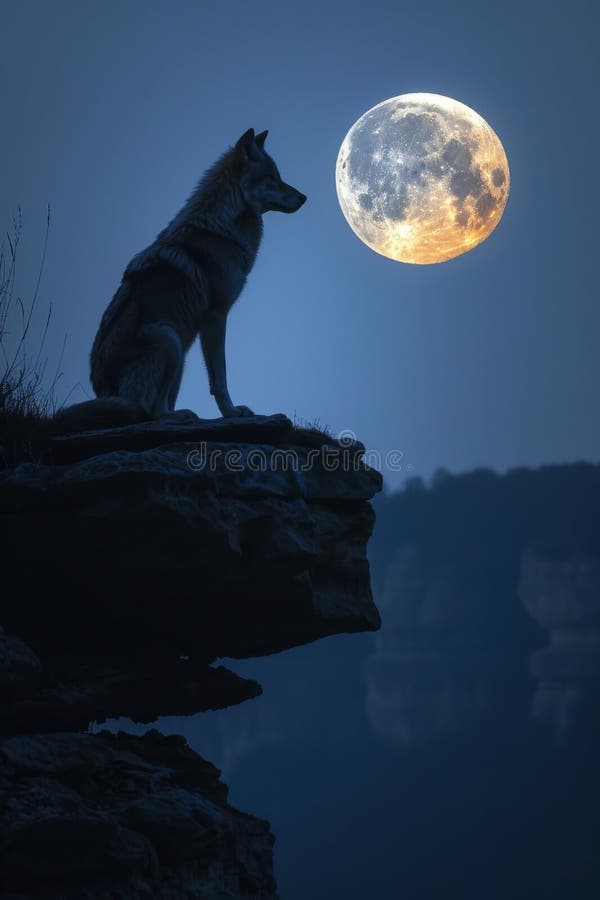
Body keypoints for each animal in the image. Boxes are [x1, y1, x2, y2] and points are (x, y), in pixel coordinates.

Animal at [54, 128, 306, 431]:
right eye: (271, 178)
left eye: (279, 176)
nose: (304, 197)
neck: (222, 227)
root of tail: (104, 390)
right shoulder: (215, 316)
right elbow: (220, 378)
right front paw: (231, 413)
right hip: (168, 337)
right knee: (150, 413)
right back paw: (179, 416)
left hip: (181, 354)